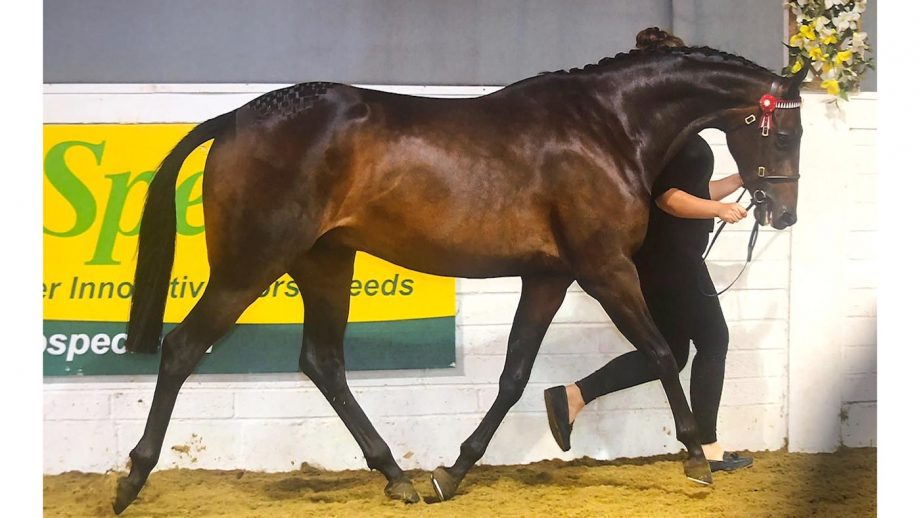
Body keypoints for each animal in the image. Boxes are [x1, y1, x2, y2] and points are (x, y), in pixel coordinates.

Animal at [112, 46, 808, 513]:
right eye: (786, 131)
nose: (782, 215)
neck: (606, 127)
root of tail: (236, 119)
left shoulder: (548, 276)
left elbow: (515, 376)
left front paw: (452, 472)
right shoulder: (604, 268)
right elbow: (662, 352)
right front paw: (696, 460)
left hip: (326, 261)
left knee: (322, 362)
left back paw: (397, 477)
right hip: (250, 265)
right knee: (183, 348)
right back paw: (131, 481)